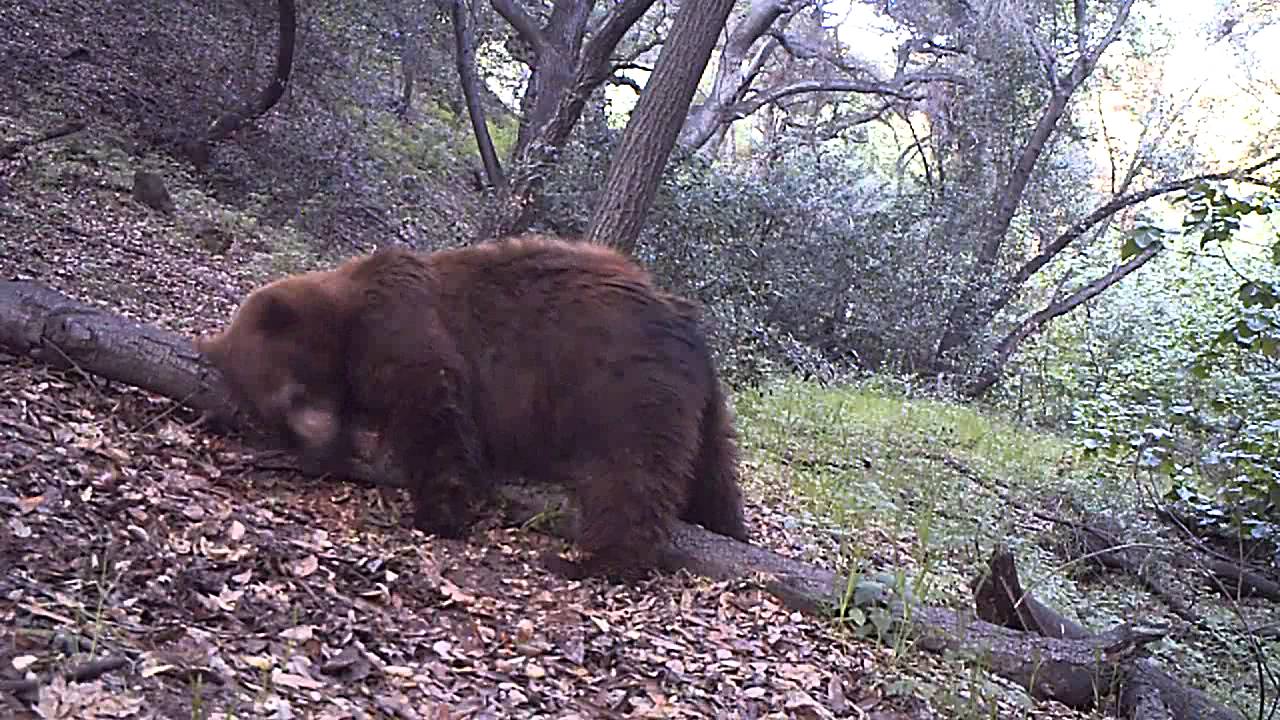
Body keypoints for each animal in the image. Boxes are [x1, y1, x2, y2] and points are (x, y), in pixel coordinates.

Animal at [194, 233, 749, 580]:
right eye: (276, 416)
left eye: (295, 393)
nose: (316, 444)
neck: (345, 324)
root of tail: (687, 328)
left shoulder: (400, 326)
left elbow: (434, 413)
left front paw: (438, 514)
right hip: (700, 409)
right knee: (712, 475)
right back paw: (730, 530)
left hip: (619, 387)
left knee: (630, 475)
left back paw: (599, 562)